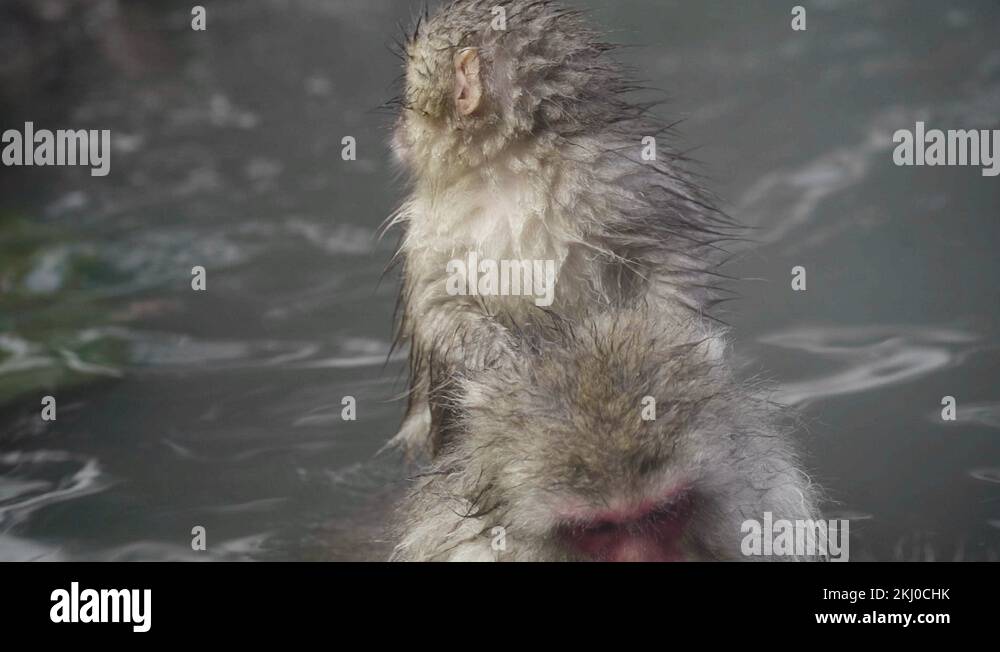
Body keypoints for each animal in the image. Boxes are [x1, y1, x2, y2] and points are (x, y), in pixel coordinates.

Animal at [386, 0, 737, 456]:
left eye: (409, 87)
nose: (396, 127)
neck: (510, 171)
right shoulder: (432, 228)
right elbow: (438, 305)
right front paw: (501, 360)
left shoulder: (622, 180)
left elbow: (673, 256)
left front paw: (669, 341)